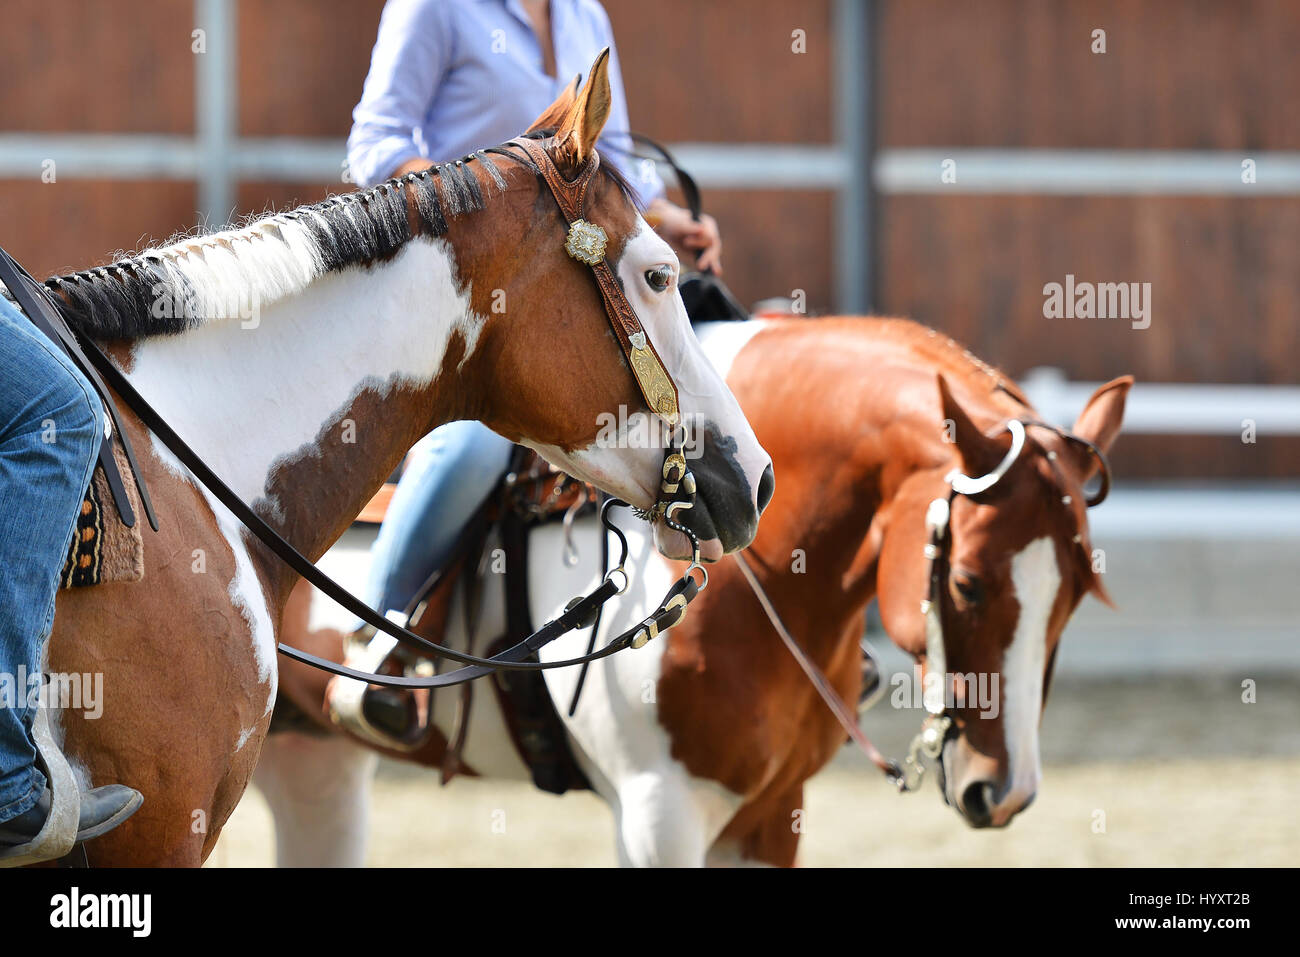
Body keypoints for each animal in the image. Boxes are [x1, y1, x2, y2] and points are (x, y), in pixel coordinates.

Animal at [255, 314, 1130, 866]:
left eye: (1073, 598)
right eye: (968, 583)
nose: (1003, 791)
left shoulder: (772, 815)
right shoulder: (659, 813)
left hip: (310, 763)